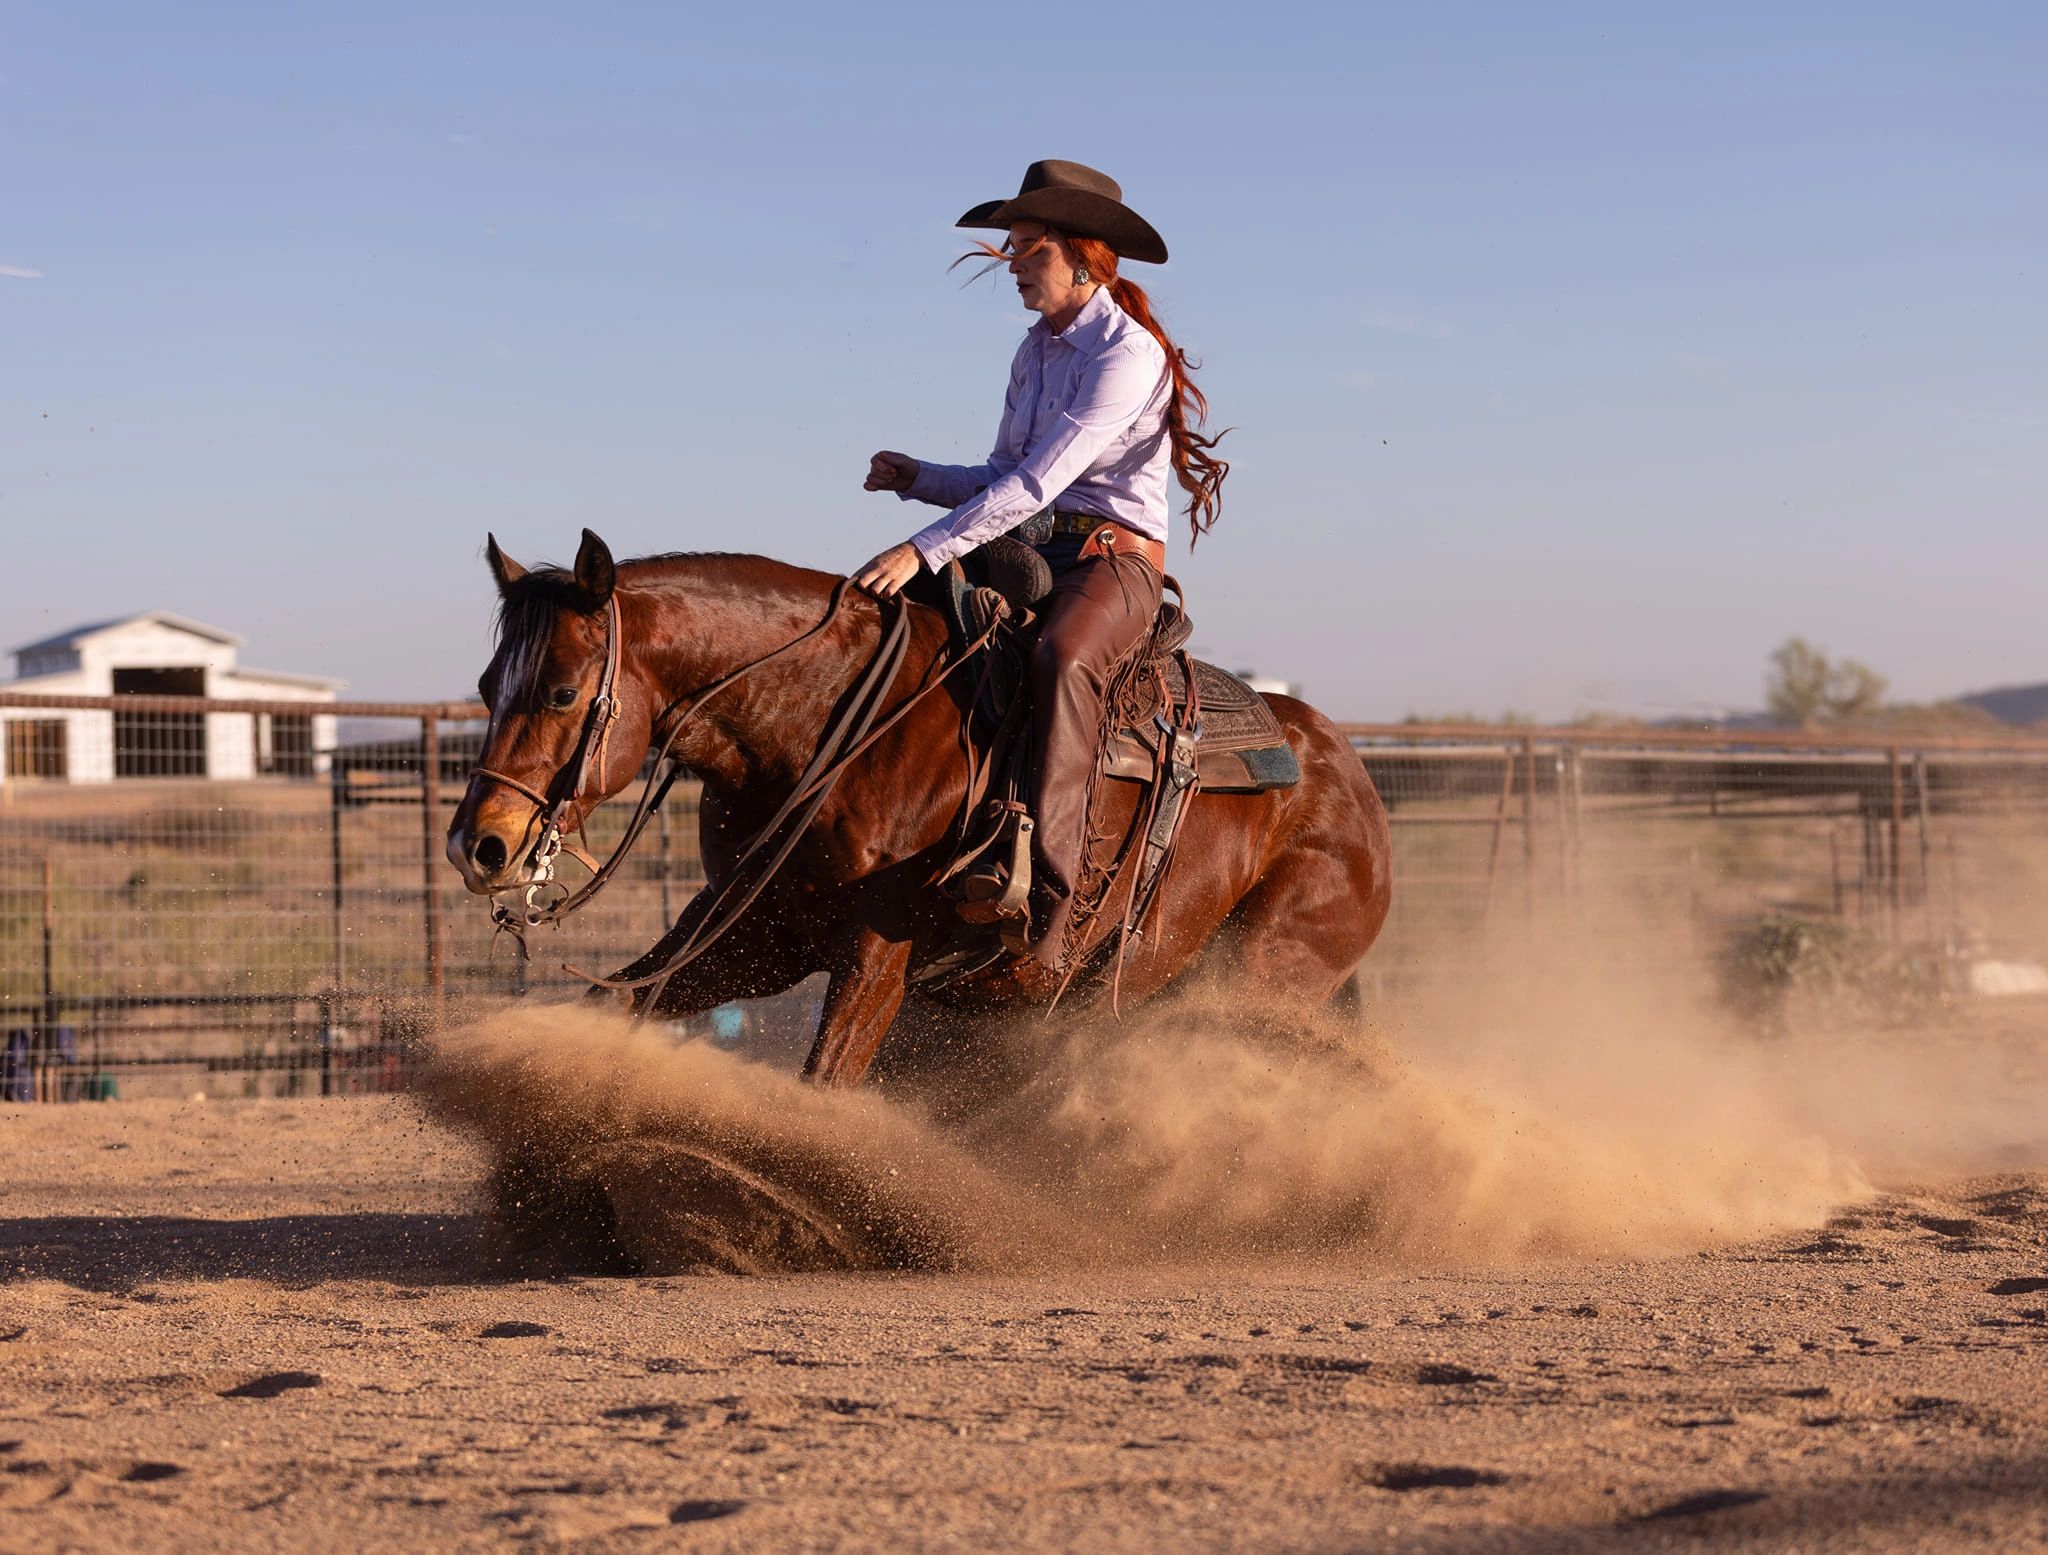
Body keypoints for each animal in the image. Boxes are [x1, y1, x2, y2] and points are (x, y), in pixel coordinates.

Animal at [445, 529, 1392, 1088]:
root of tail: (1353, 775)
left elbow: (824, 1079)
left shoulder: (879, 945)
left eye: (562, 690)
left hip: (1260, 974)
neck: (822, 721)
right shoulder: (755, 931)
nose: (476, 844)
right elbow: (617, 1007)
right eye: (488, 685)